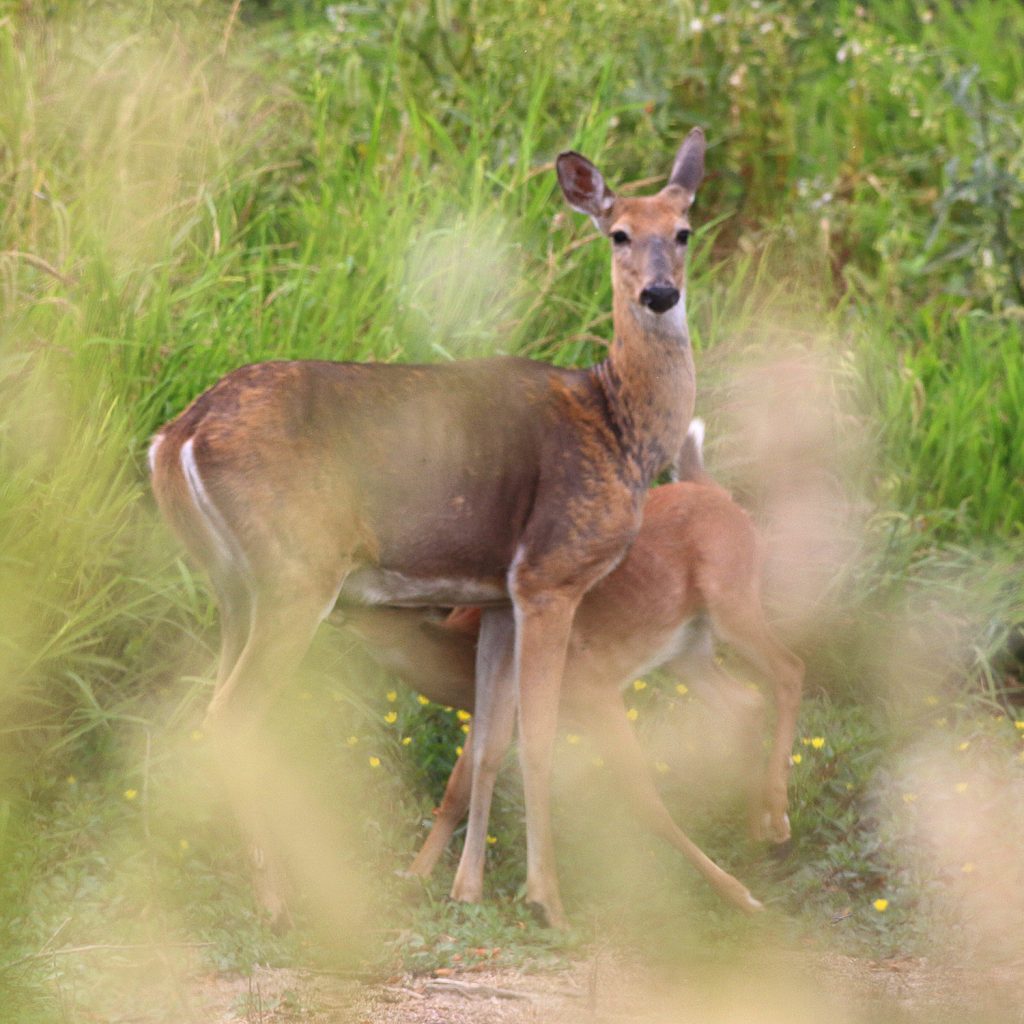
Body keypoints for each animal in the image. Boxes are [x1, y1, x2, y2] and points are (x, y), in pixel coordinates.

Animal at [149, 129, 706, 929]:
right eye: (619, 232)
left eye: (684, 230)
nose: (660, 293)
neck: (617, 425)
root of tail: (177, 438)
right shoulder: (551, 575)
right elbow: (540, 739)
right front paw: (549, 901)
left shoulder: (500, 593)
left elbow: (492, 739)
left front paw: (464, 890)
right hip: (296, 572)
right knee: (232, 717)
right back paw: (278, 901)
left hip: (233, 587)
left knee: (204, 714)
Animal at [338, 422, 804, 915]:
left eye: (387, 597)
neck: (461, 650)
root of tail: (715, 491)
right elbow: (458, 785)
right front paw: (417, 875)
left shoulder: (595, 689)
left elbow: (643, 795)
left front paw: (737, 895)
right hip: (686, 650)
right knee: (746, 701)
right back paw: (759, 833)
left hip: (732, 598)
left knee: (790, 670)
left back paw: (776, 822)